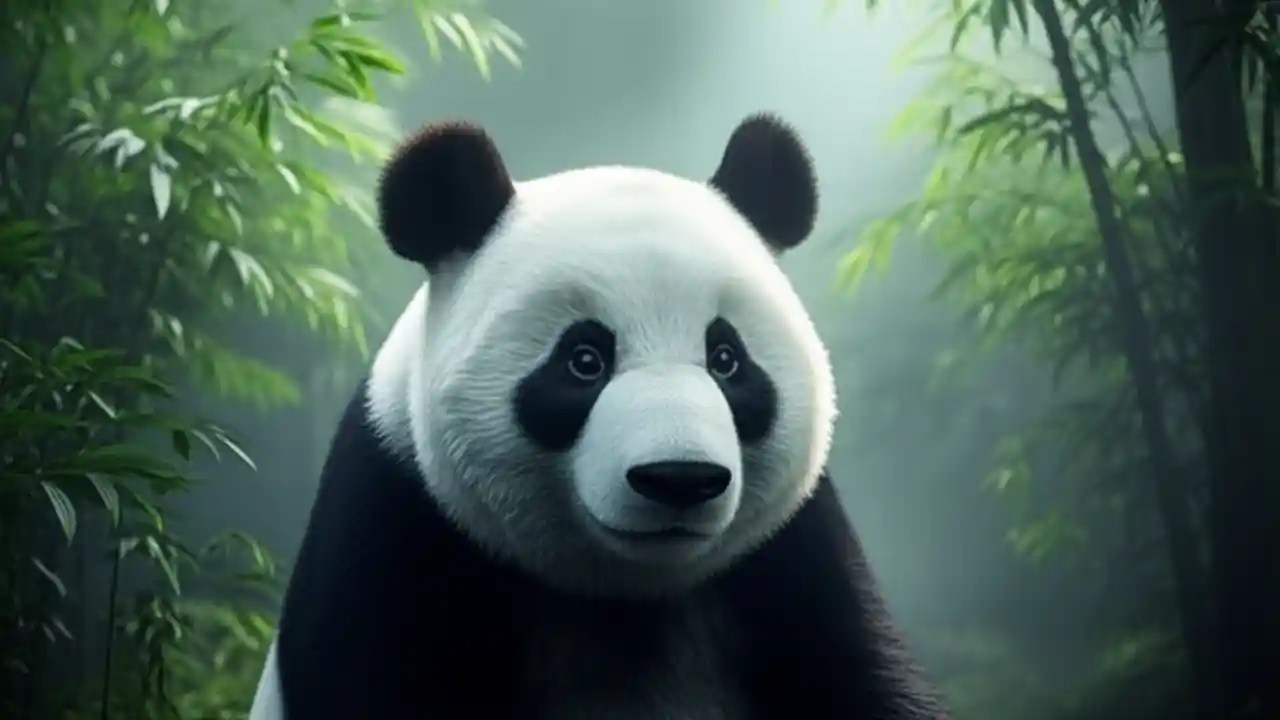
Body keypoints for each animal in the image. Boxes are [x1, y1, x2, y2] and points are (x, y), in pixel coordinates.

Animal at [249, 113, 947, 720]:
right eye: (584, 360)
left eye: (726, 359)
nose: (679, 479)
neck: (623, 594)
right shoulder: (394, 518)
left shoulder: (795, 551)